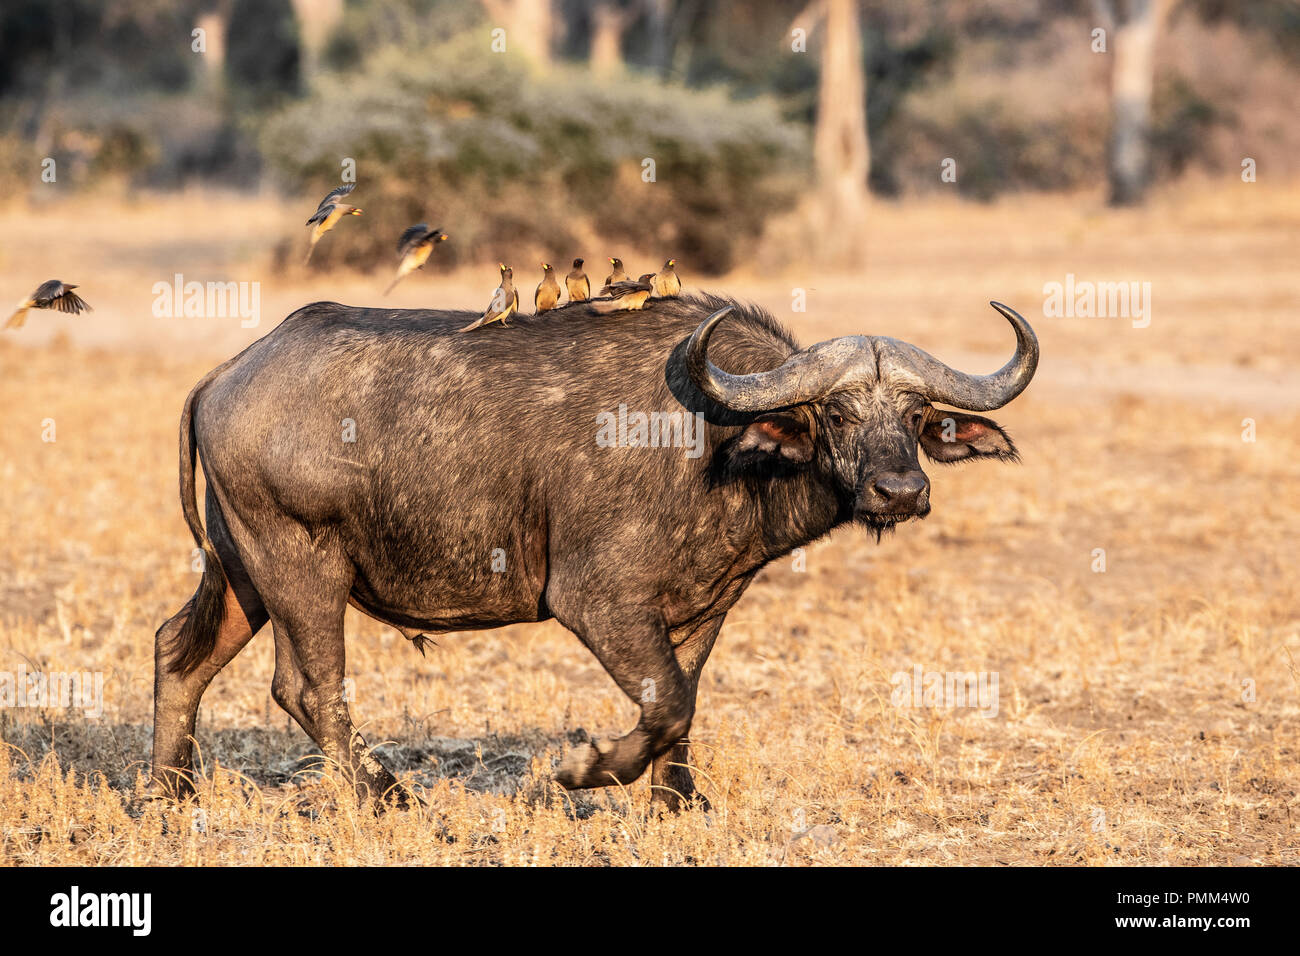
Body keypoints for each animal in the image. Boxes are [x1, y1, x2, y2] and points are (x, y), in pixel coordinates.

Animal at [151, 293, 1038, 809]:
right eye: (840, 413)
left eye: (916, 414)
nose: (901, 491)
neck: (713, 441)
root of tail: (227, 374)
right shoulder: (597, 602)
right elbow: (668, 702)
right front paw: (583, 770)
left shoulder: (703, 609)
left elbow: (684, 701)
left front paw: (680, 803)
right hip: (301, 567)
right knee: (309, 687)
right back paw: (389, 797)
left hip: (244, 575)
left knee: (178, 653)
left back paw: (169, 793)